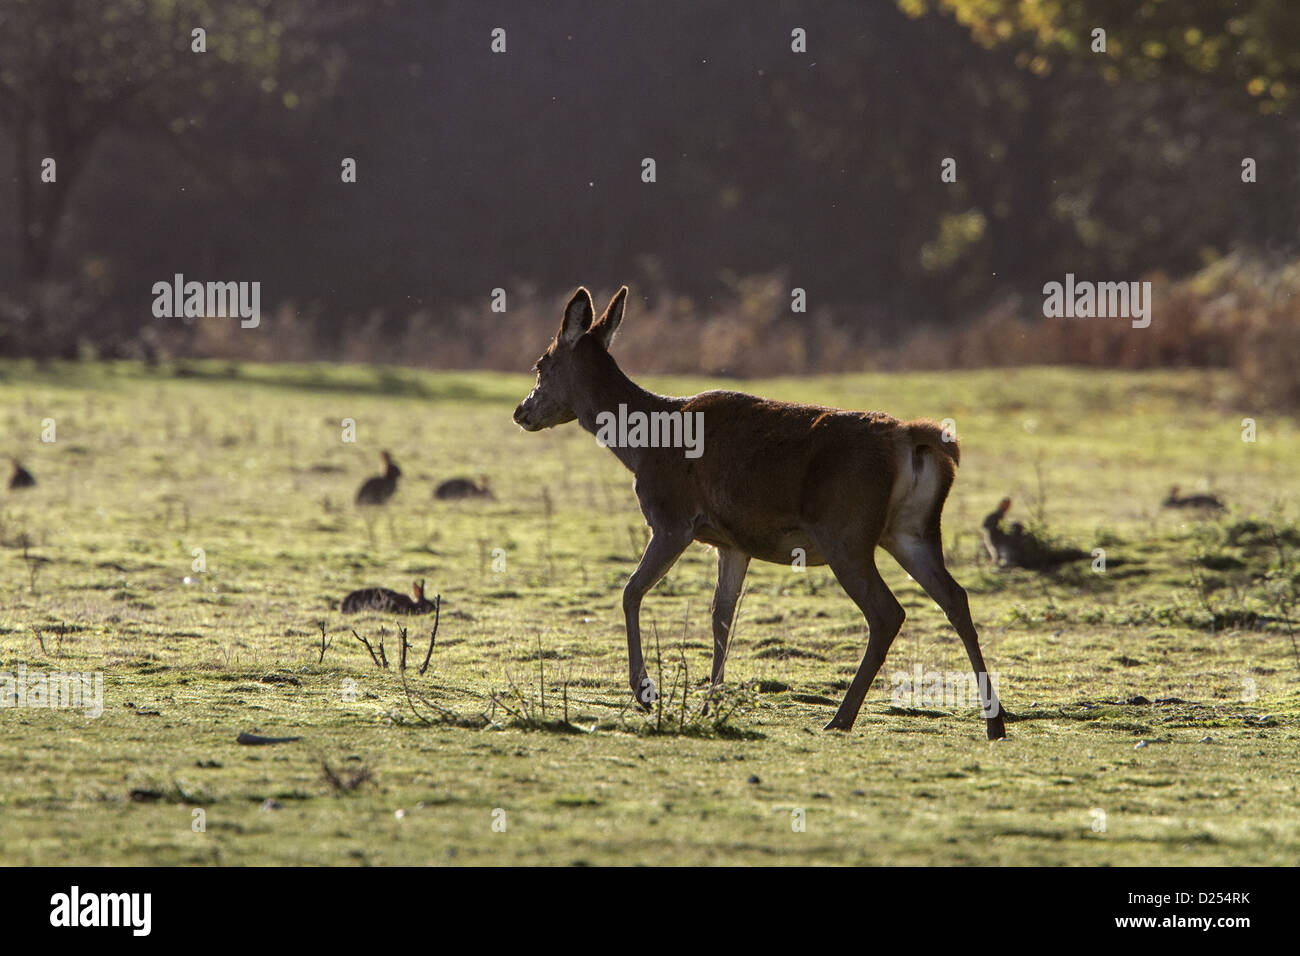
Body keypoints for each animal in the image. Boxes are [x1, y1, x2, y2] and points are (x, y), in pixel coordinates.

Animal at [513, 286, 1006, 739]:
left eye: (540, 364)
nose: (521, 411)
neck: (643, 447)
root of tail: (912, 438)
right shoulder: (732, 542)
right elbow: (721, 615)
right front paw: (710, 701)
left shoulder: (672, 519)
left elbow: (631, 591)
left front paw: (645, 691)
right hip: (912, 531)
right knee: (956, 598)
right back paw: (994, 722)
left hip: (846, 531)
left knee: (887, 612)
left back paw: (841, 718)